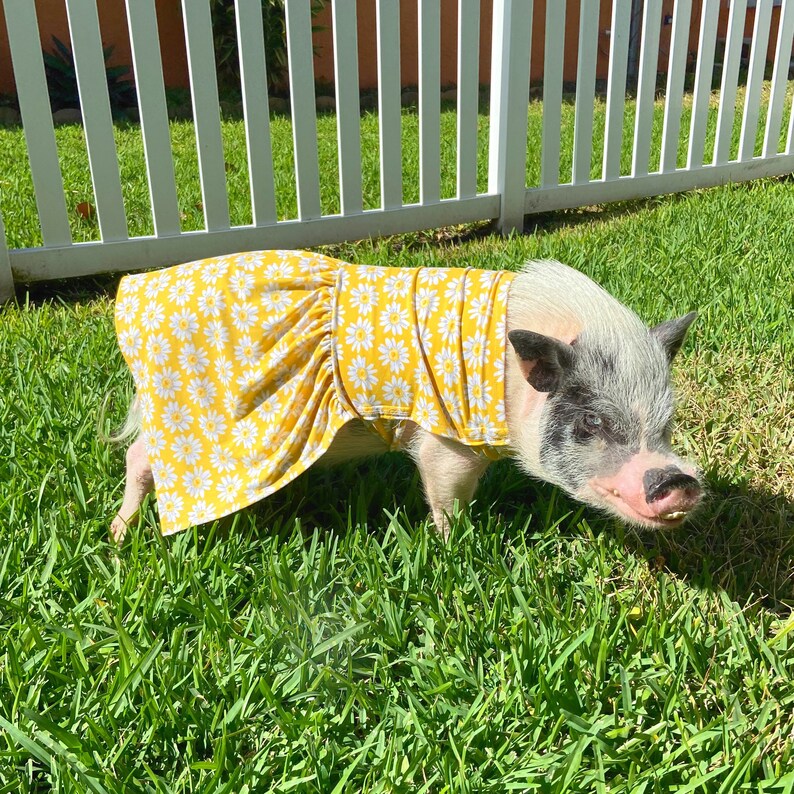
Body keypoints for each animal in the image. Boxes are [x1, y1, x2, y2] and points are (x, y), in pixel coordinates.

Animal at [108, 253, 702, 543]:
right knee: (138, 456)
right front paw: (454, 546)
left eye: (668, 424)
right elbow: (446, 497)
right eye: (589, 425)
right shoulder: (446, 443)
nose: (678, 481)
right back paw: (119, 536)